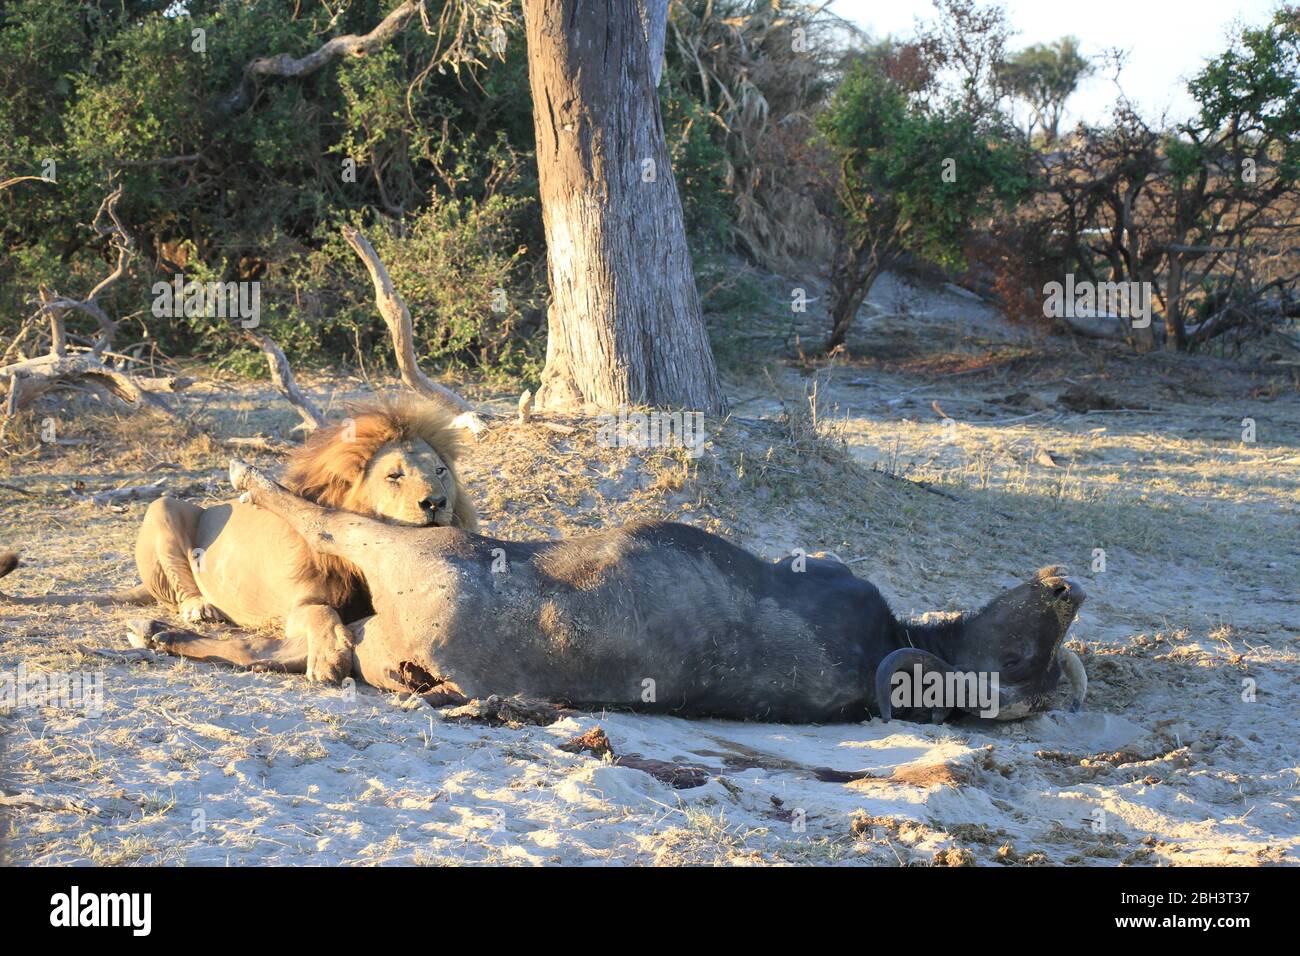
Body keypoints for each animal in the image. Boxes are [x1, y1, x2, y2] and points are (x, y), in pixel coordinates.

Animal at [0, 396, 476, 681]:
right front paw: (328, 658)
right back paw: (201, 608)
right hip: (164, 507)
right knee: (182, 585)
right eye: (394, 476)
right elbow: (322, 613)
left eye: (440, 471)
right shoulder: (296, 606)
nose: (435, 503)